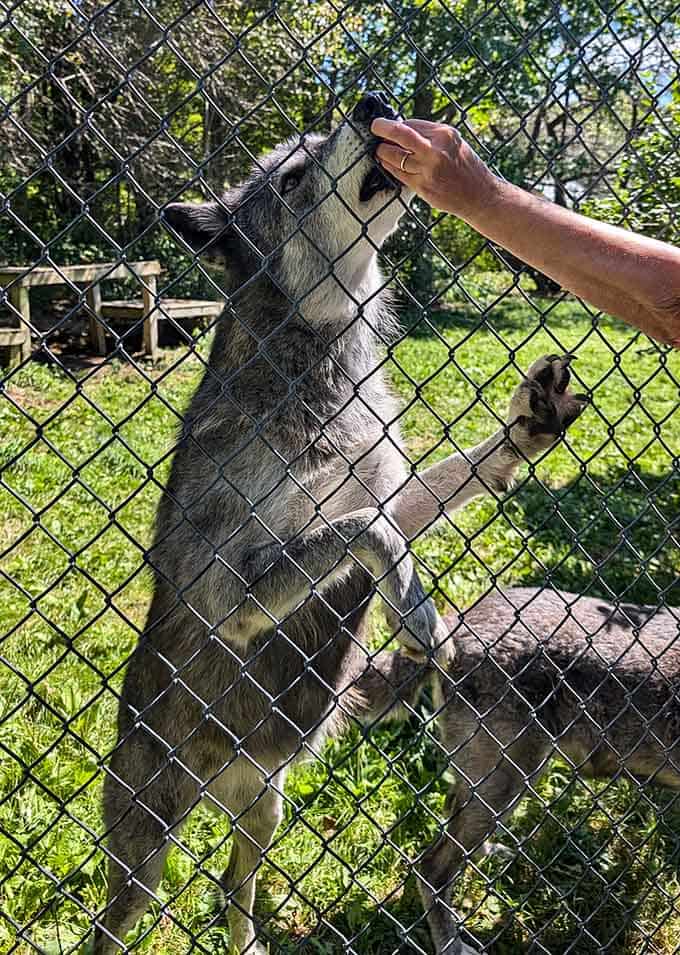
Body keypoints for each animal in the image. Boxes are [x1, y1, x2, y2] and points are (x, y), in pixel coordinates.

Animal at [93, 92, 587, 954]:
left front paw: (526, 430)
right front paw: (418, 618)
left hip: (265, 806)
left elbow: (425, 495)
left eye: (319, 137)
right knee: (115, 923)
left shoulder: (387, 490)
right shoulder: (231, 596)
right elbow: (366, 533)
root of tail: (225, 777)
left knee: (232, 884)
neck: (321, 374)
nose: (373, 102)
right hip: (144, 854)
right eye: (292, 177)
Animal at [360, 587, 680, 955]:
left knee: (453, 813)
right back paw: (452, 945)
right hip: (511, 780)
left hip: (500, 781)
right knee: (430, 869)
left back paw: (487, 855)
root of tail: (457, 622)